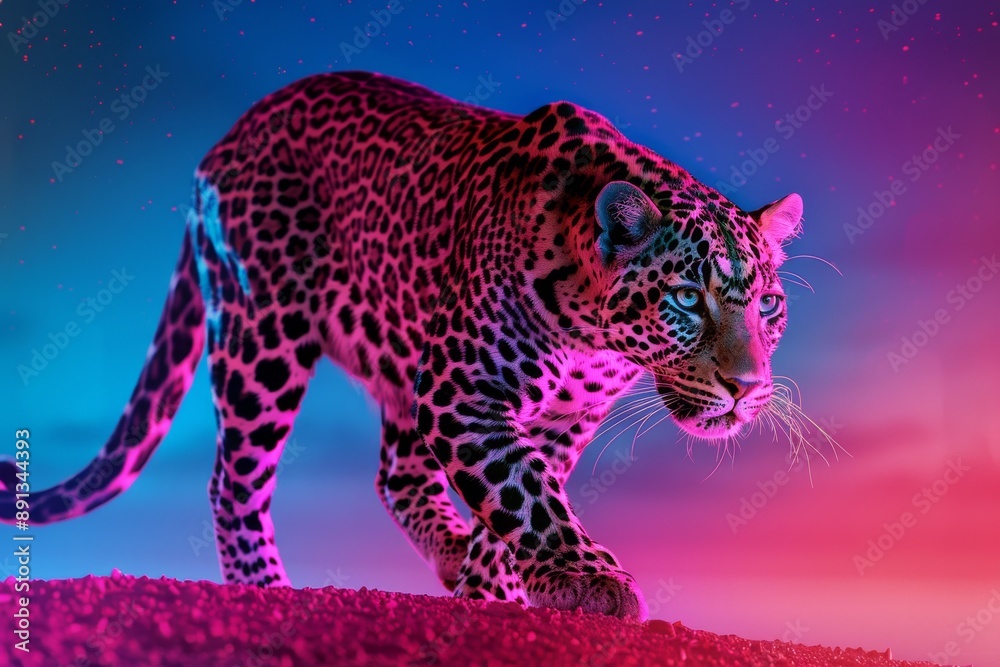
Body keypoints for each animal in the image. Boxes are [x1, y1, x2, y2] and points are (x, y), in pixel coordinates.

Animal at [0, 71, 805, 621]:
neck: (595, 339)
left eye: (768, 305)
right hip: (264, 337)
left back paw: (448, 551)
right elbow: (523, 491)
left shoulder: (558, 418)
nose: (747, 389)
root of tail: (230, 136)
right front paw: (588, 581)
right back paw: (269, 595)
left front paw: (495, 589)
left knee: (395, 474)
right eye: (686, 298)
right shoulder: (463, 392)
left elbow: (516, 496)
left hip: (398, 353)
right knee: (235, 481)